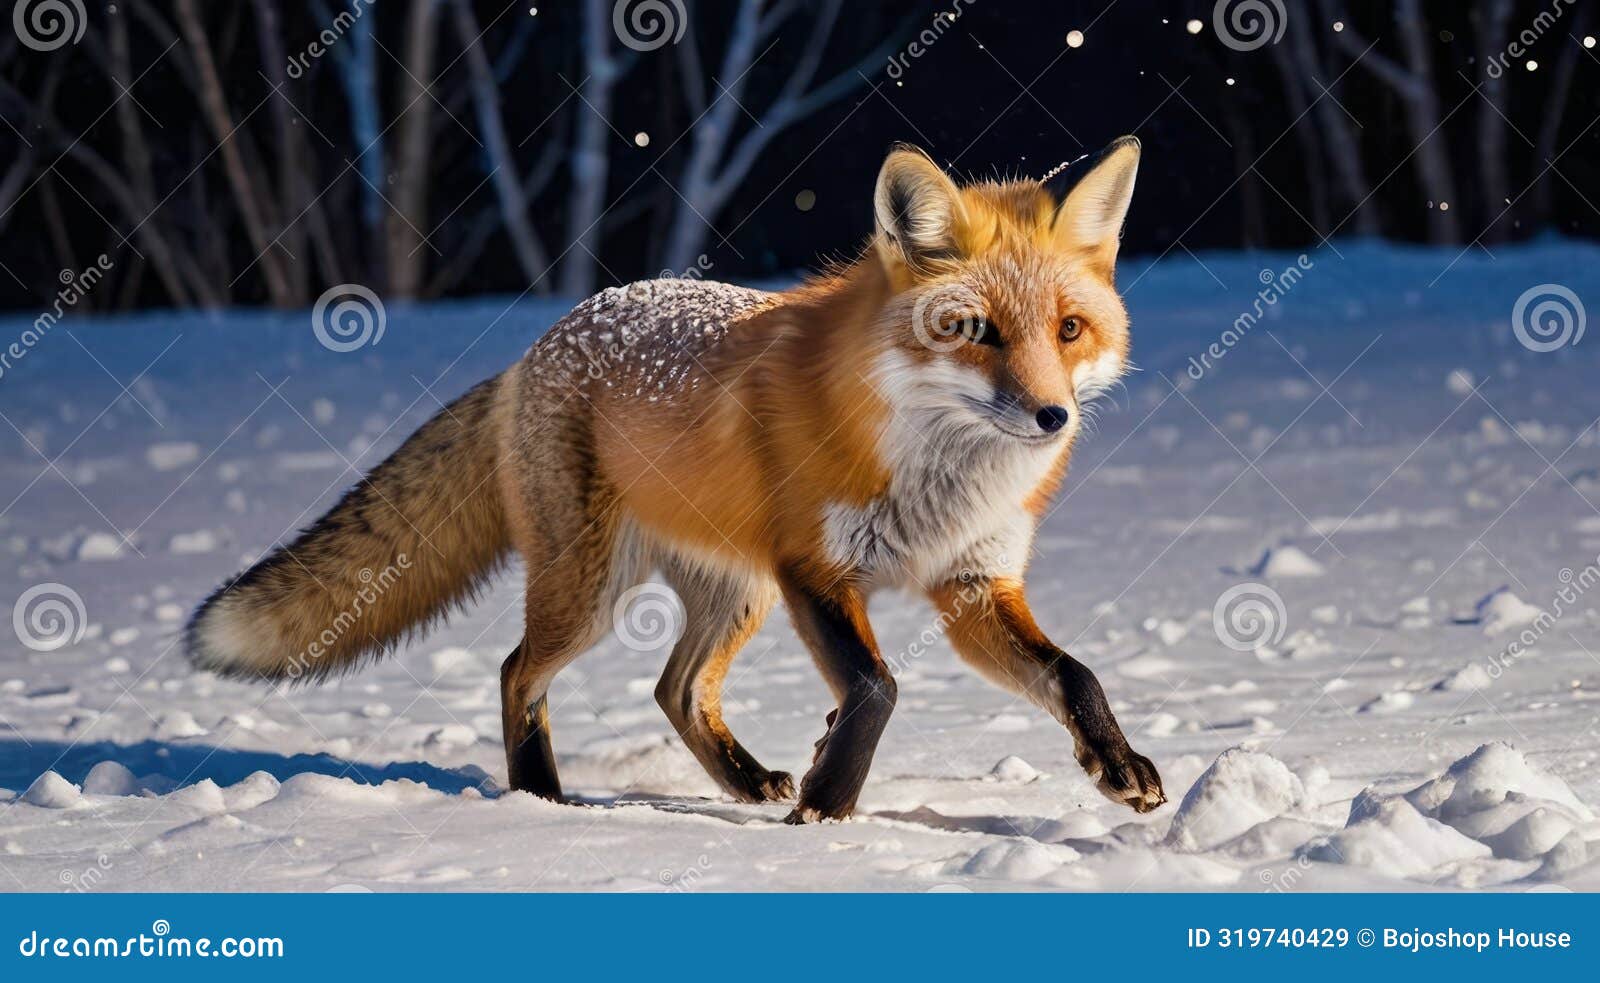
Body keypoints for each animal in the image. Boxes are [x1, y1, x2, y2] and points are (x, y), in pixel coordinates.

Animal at [185, 136, 1166, 822]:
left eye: (1069, 329)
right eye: (972, 330)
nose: (1052, 417)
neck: (938, 475)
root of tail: (536, 349)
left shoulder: (971, 583)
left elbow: (1074, 674)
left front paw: (1117, 765)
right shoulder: (814, 569)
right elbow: (879, 687)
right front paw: (828, 809)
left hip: (737, 591)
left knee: (676, 689)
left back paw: (744, 780)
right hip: (594, 590)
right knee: (516, 673)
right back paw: (539, 801)